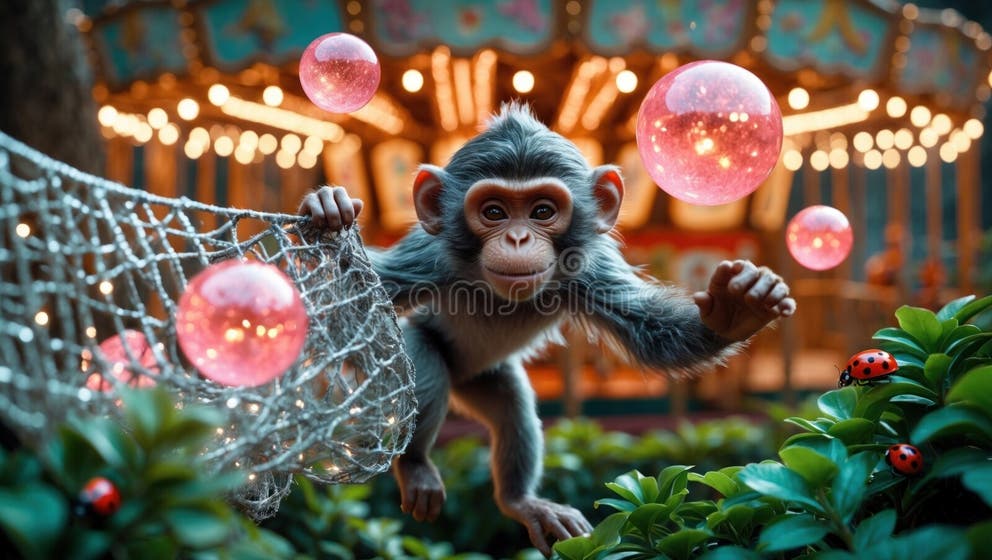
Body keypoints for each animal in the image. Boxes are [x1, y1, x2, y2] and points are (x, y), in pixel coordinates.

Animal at [300, 103, 796, 555]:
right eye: (494, 211)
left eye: (541, 210)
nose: (518, 238)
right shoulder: (428, 259)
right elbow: (353, 297)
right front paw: (325, 210)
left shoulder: (591, 272)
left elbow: (655, 335)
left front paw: (735, 309)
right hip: (423, 355)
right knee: (426, 363)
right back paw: (416, 464)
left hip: (488, 379)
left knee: (513, 408)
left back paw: (522, 501)